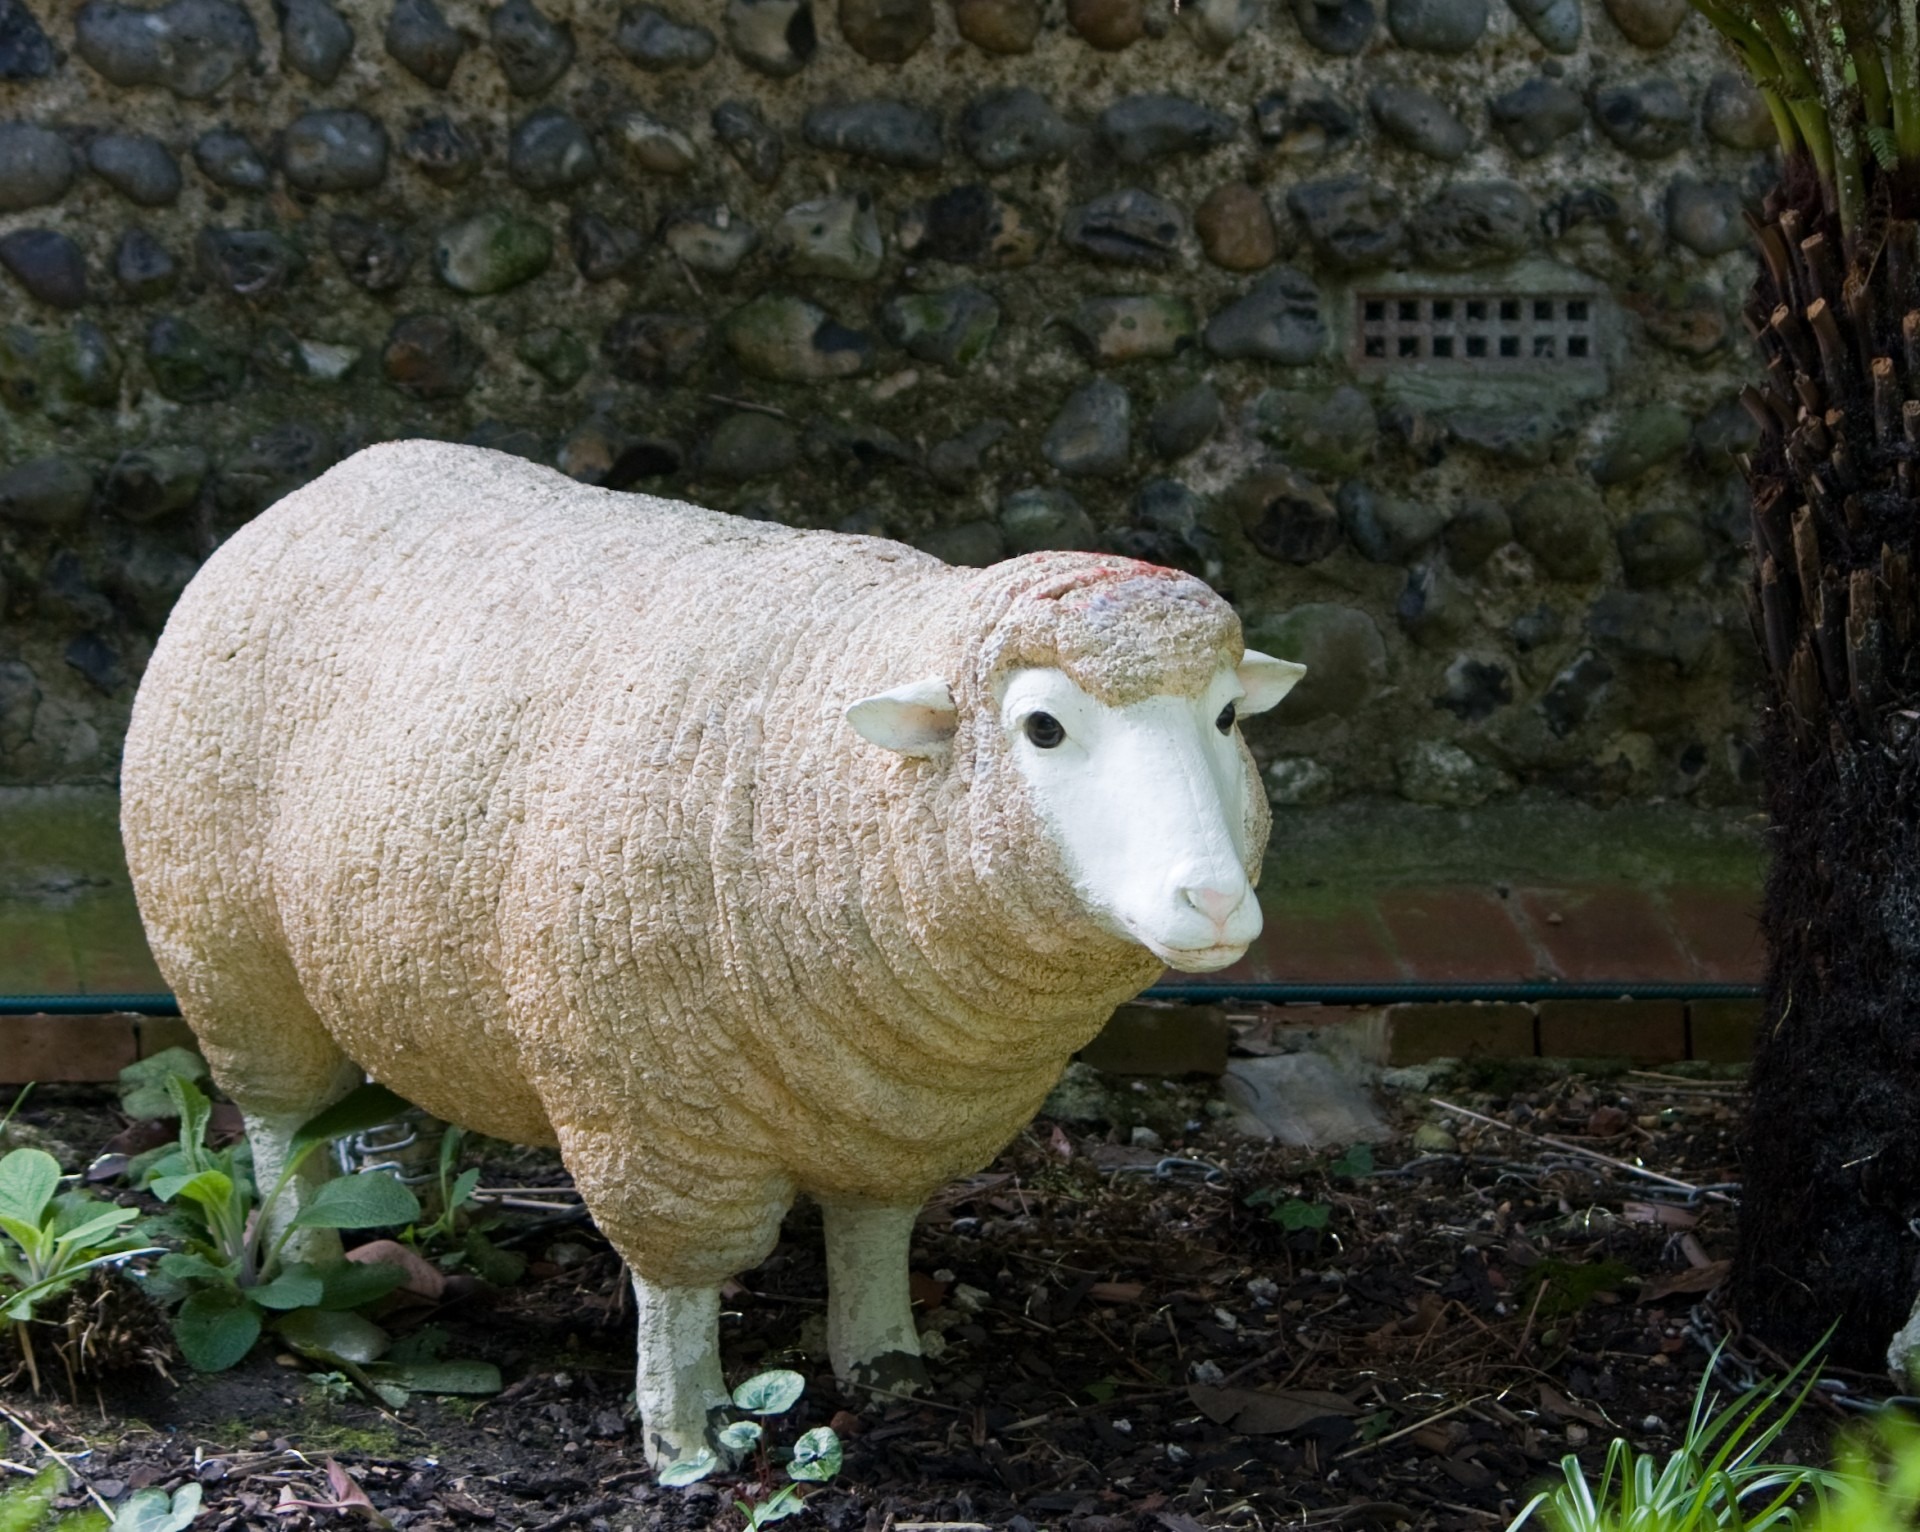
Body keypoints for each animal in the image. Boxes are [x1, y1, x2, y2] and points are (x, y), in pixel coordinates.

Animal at [120, 439, 1305, 1468]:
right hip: (225, 953)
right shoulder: (652, 1117)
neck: (828, 777)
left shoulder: (895, 1113)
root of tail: (343, 472)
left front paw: (885, 1365)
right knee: (282, 1127)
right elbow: (678, 1295)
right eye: (1044, 729)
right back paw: (311, 1268)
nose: (1212, 898)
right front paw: (684, 1434)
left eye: (1226, 716)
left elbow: (872, 1236)